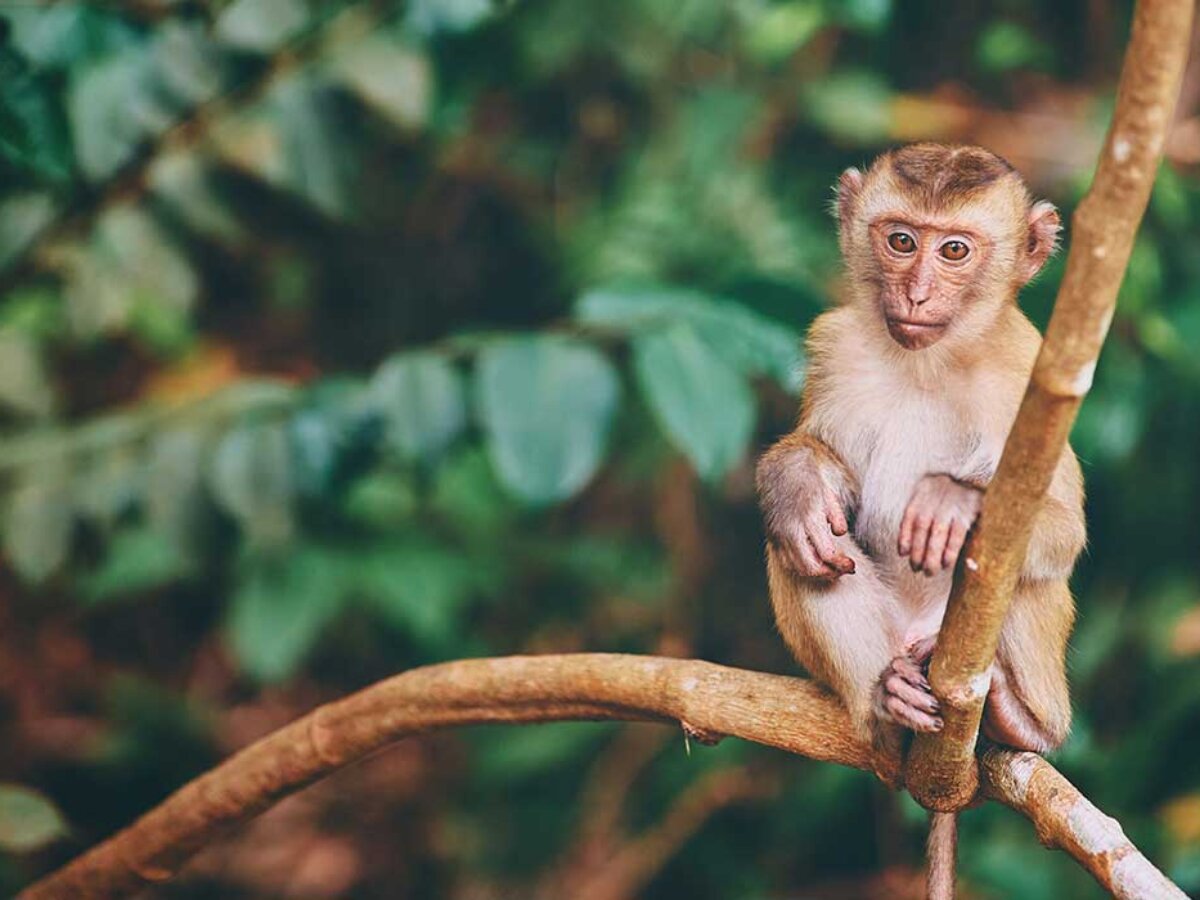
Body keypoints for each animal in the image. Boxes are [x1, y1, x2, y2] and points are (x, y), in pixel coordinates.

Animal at [756, 143, 1085, 899]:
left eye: (955, 250)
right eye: (902, 241)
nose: (916, 294)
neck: (931, 361)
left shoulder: (1030, 379)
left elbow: (1063, 529)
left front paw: (956, 504)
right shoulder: (836, 345)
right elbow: (821, 473)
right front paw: (795, 484)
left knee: (1020, 576)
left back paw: (1021, 723)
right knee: (805, 556)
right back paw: (889, 701)